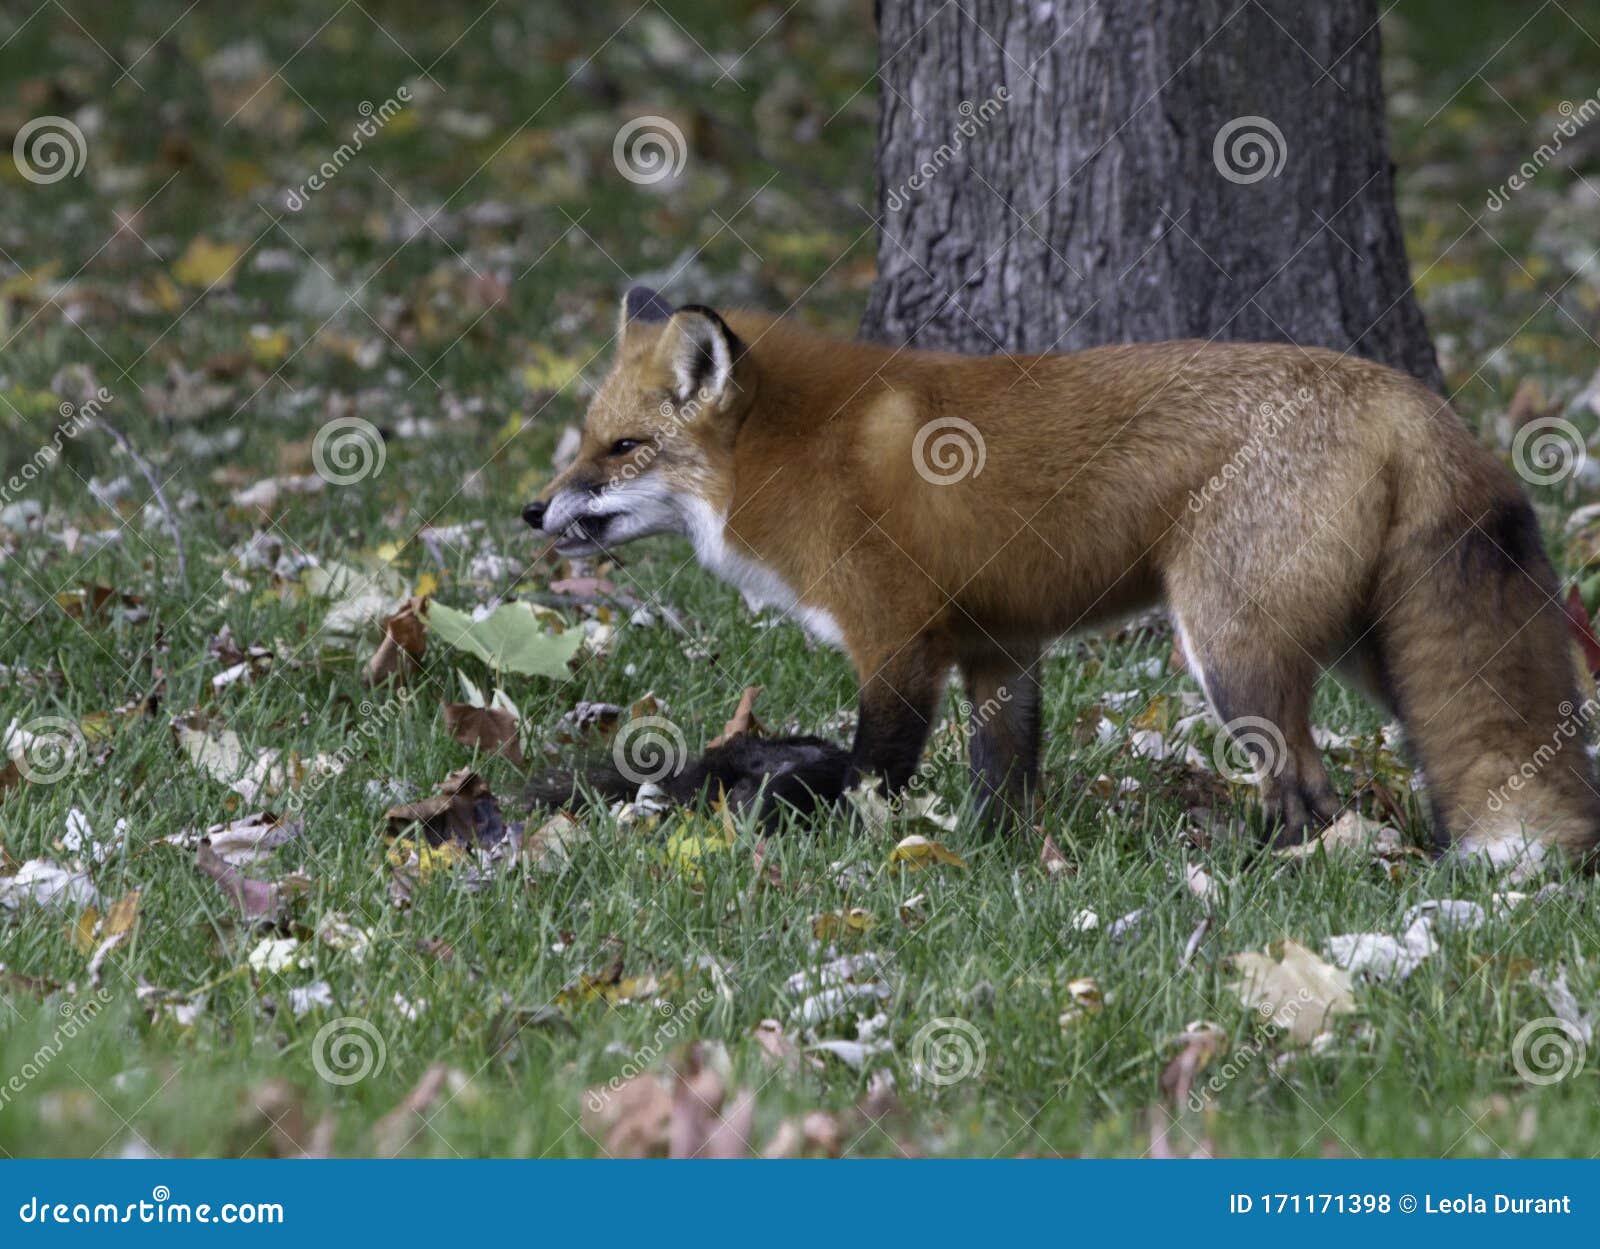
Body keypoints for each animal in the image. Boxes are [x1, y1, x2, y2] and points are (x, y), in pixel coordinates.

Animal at [523, 284, 1600, 871]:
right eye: (583, 439)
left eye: (622, 448)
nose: (532, 511)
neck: (796, 454)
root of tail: (1411, 397)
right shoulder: (999, 647)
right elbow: (1001, 778)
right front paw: (993, 860)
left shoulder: (895, 642)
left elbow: (875, 770)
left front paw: (847, 838)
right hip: (1366, 653)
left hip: (1230, 650)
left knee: (1305, 788)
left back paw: (1263, 872)